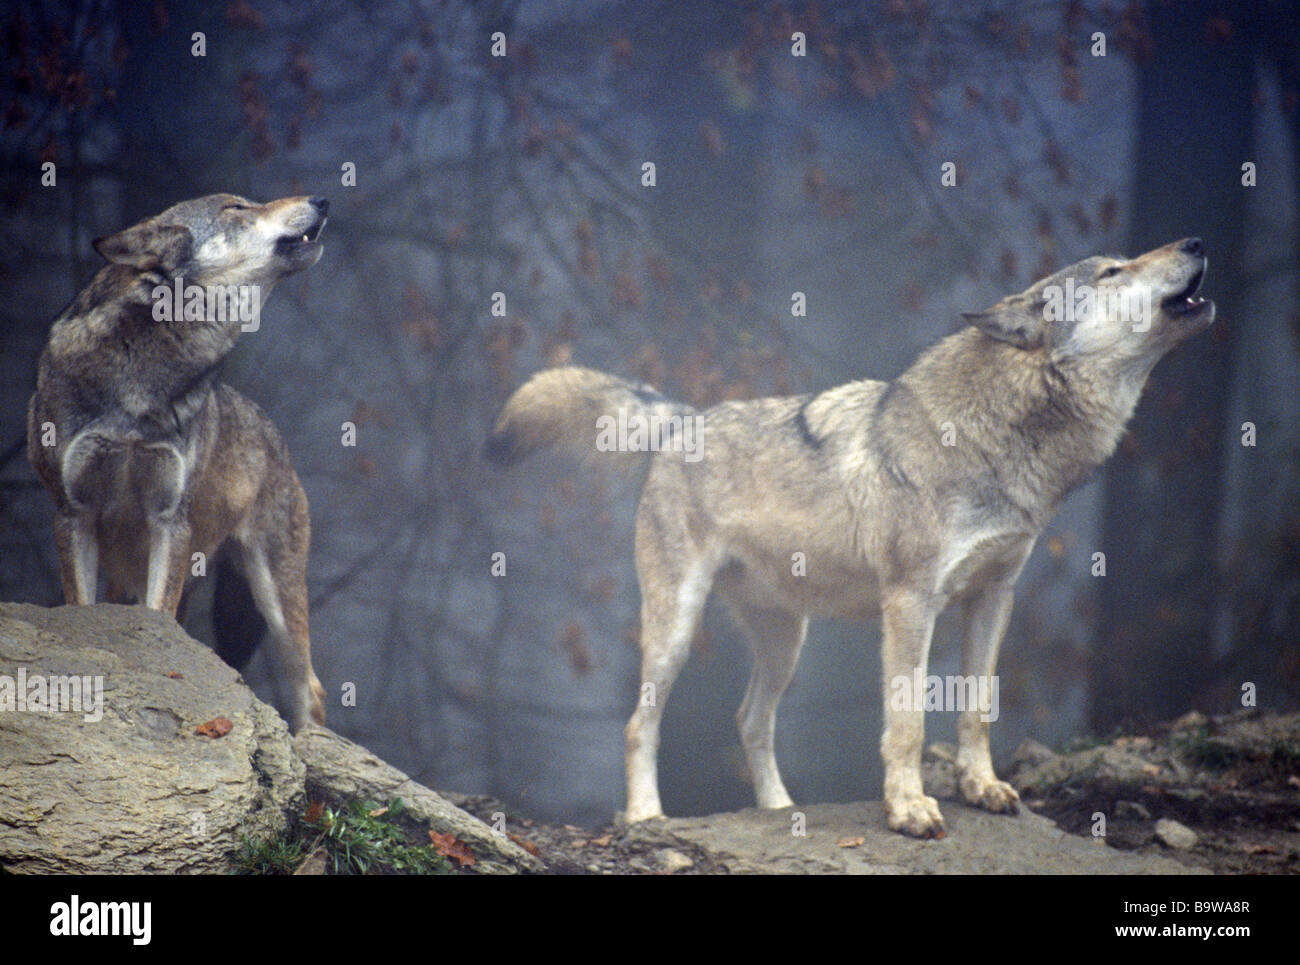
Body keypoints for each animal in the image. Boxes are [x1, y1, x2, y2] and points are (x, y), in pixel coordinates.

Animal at [27, 193, 330, 731]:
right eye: (236, 208)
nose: (321, 198)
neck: (142, 378)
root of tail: (274, 435)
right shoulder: (73, 513)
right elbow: (81, 603)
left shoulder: (170, 520)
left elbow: (158, 620)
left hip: (274, 595)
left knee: (310, 691)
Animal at [488, 238, 1214, 837]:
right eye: (1113, 271)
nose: (1196, 242)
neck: (1001, 441)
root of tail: (685, 419)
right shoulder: (911, 603)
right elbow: (908, 723)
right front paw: (910, 809)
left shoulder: (993, 596)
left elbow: (976, 708)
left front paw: (981, 788)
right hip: (676, 628)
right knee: (641, 724)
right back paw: (646, 817)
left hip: (786, 641)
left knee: (750, 720)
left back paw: (779, 810)